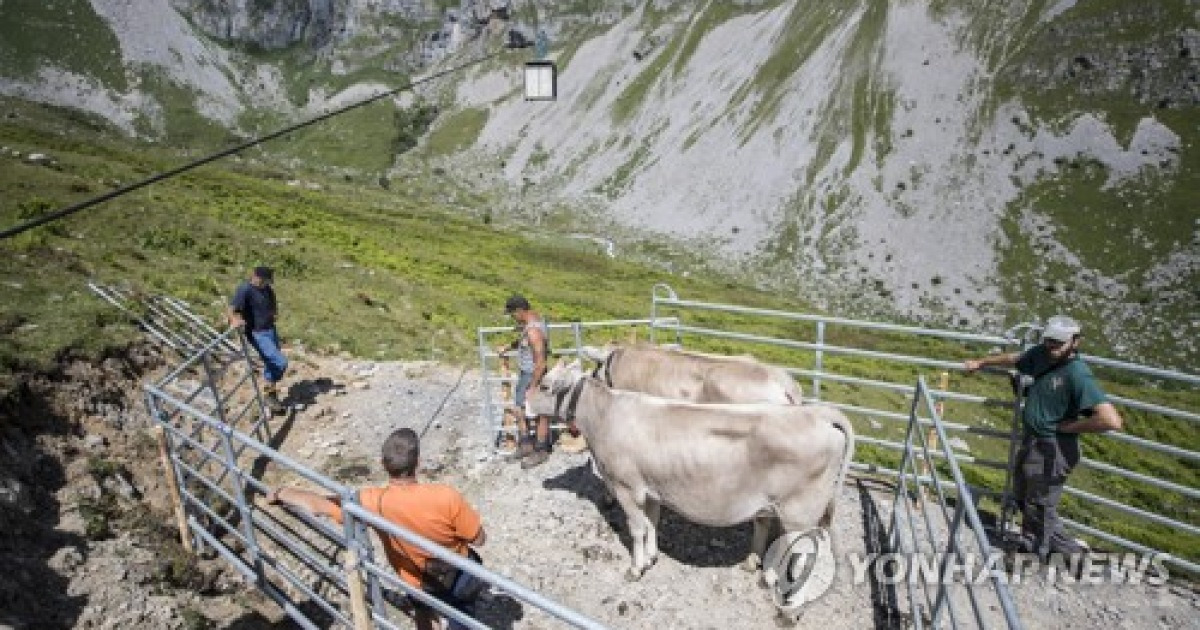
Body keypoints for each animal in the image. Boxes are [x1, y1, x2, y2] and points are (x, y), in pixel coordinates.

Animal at [528, 359, 854, 593]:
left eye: (544, 385)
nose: (525, 405)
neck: (605, 415)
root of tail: (818, 414)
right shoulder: (652, 488)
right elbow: (652, 522)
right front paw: (652, 557)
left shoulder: (626, 487)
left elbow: (637, 528)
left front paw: (635, 569)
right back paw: (755, 566)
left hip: (799, 511)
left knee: (799, 547)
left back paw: (775, 583)